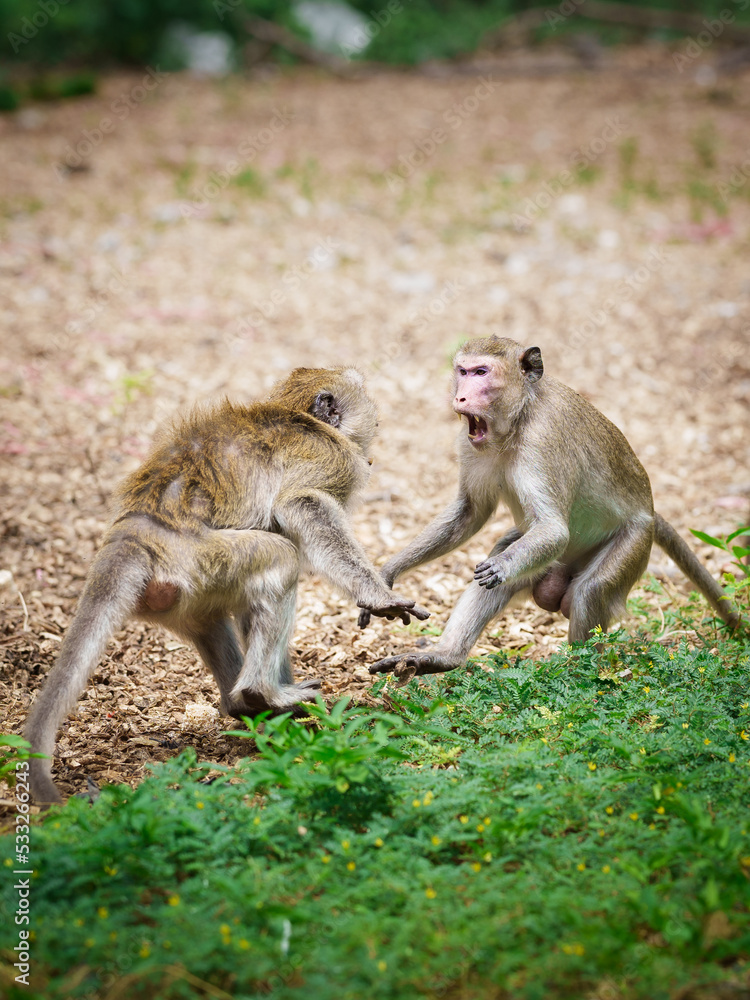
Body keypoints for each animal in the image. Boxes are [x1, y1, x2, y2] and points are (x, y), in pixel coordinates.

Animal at [25, 367, 429, 803]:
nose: (374, 435)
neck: (301, 416)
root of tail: (137, 530)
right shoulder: (331, 459)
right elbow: (302, 505)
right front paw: (379, 596)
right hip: (204, 558)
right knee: (282, 559)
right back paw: (259, 693)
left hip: (184, 587)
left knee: (210, 619)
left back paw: (247, 706)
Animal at [364, 337, 740, 684]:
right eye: (463, 372)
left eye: (481, 372)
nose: (460, 397)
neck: (519, 418)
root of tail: (649, 509)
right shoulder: (470, 445)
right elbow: (470, 512)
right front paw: (388, 576)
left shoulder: (542, 443)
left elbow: (552, 530)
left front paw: (499, 566)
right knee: (509, 553)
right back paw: (445, 657)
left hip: (635, 540)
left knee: (592, 588)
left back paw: (579, 673)